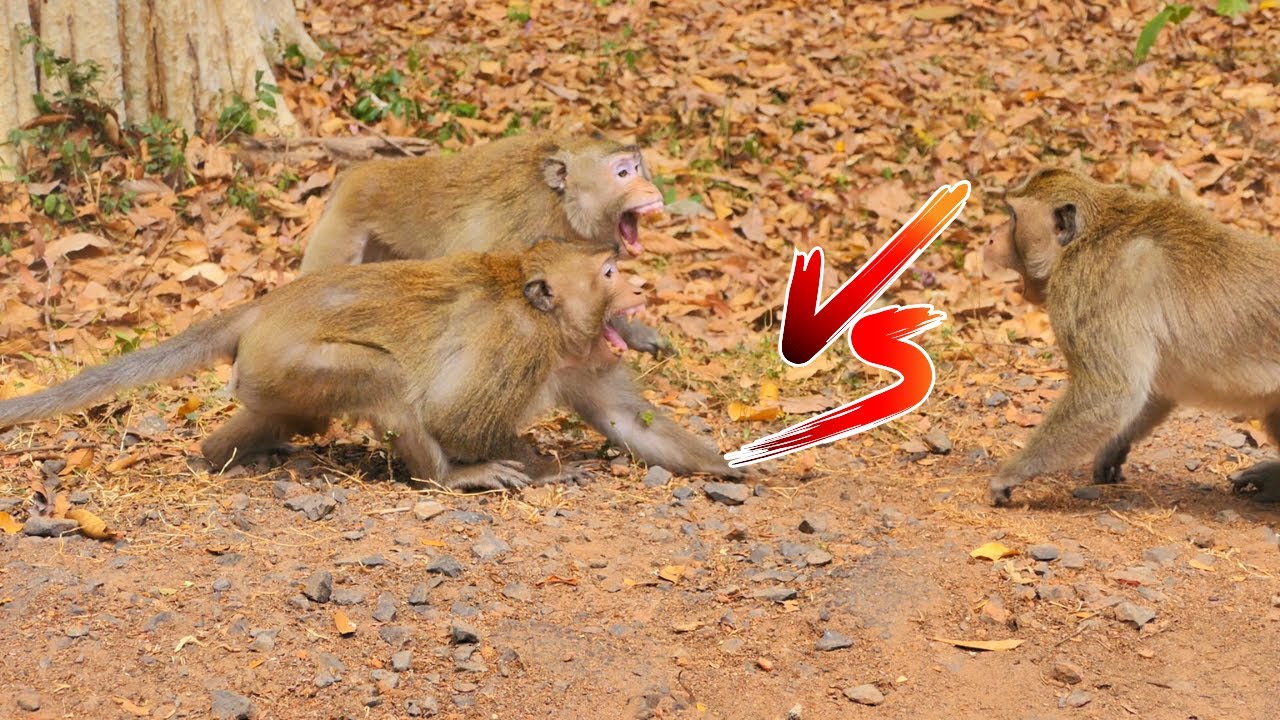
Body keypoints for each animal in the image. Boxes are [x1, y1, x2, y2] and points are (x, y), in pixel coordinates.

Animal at [0, 243, 655, 492]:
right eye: (608, 273)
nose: (640, 285)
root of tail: (266, 306)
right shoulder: (520, 341)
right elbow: (454, 418)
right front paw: (544, 469)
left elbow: (627, 421)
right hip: (292, 361)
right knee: (385, 379)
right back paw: (444, 480)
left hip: (270, 376)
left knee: (289, 416)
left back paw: (221, 454)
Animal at [298, 131, 667, 354]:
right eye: (622, 173)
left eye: (637, 168)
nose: (651, 189)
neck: (561, 204)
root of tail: (354, 174)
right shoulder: (524, 232)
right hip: (344, 227)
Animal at [984, 166, 1280, 506]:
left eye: (1013, 217)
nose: (990, 238)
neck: (1090, 235)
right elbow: (1155, 389)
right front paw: (1111, 450)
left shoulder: (1087, 288)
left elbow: (1114, 393)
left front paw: (1012, 474)